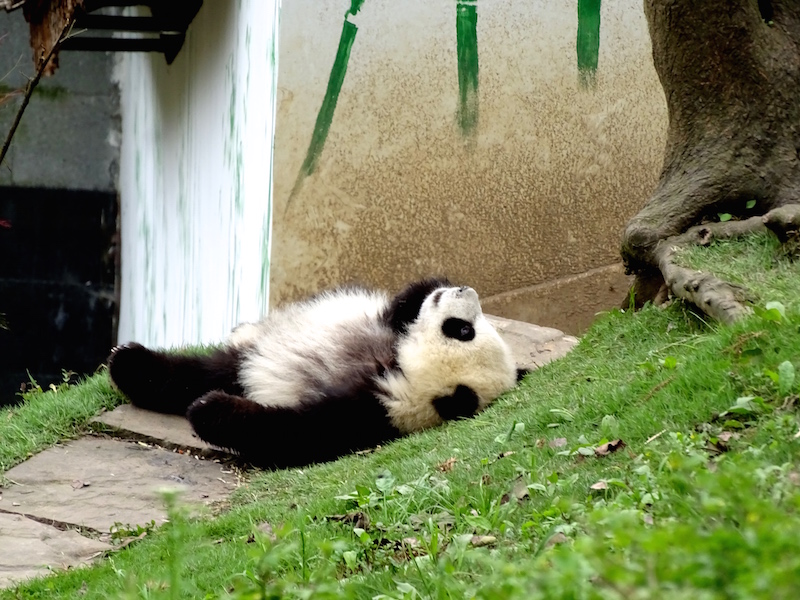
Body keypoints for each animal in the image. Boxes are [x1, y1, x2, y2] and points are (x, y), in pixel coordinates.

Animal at [107, 278, 528, 468]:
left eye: (463, 331)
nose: (464, 289)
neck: (395, 368)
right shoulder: (382, 329)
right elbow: (403, 304)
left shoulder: (373, 414)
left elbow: (292, 432)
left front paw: (210, 410)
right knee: (211, 365)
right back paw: (129, 363)